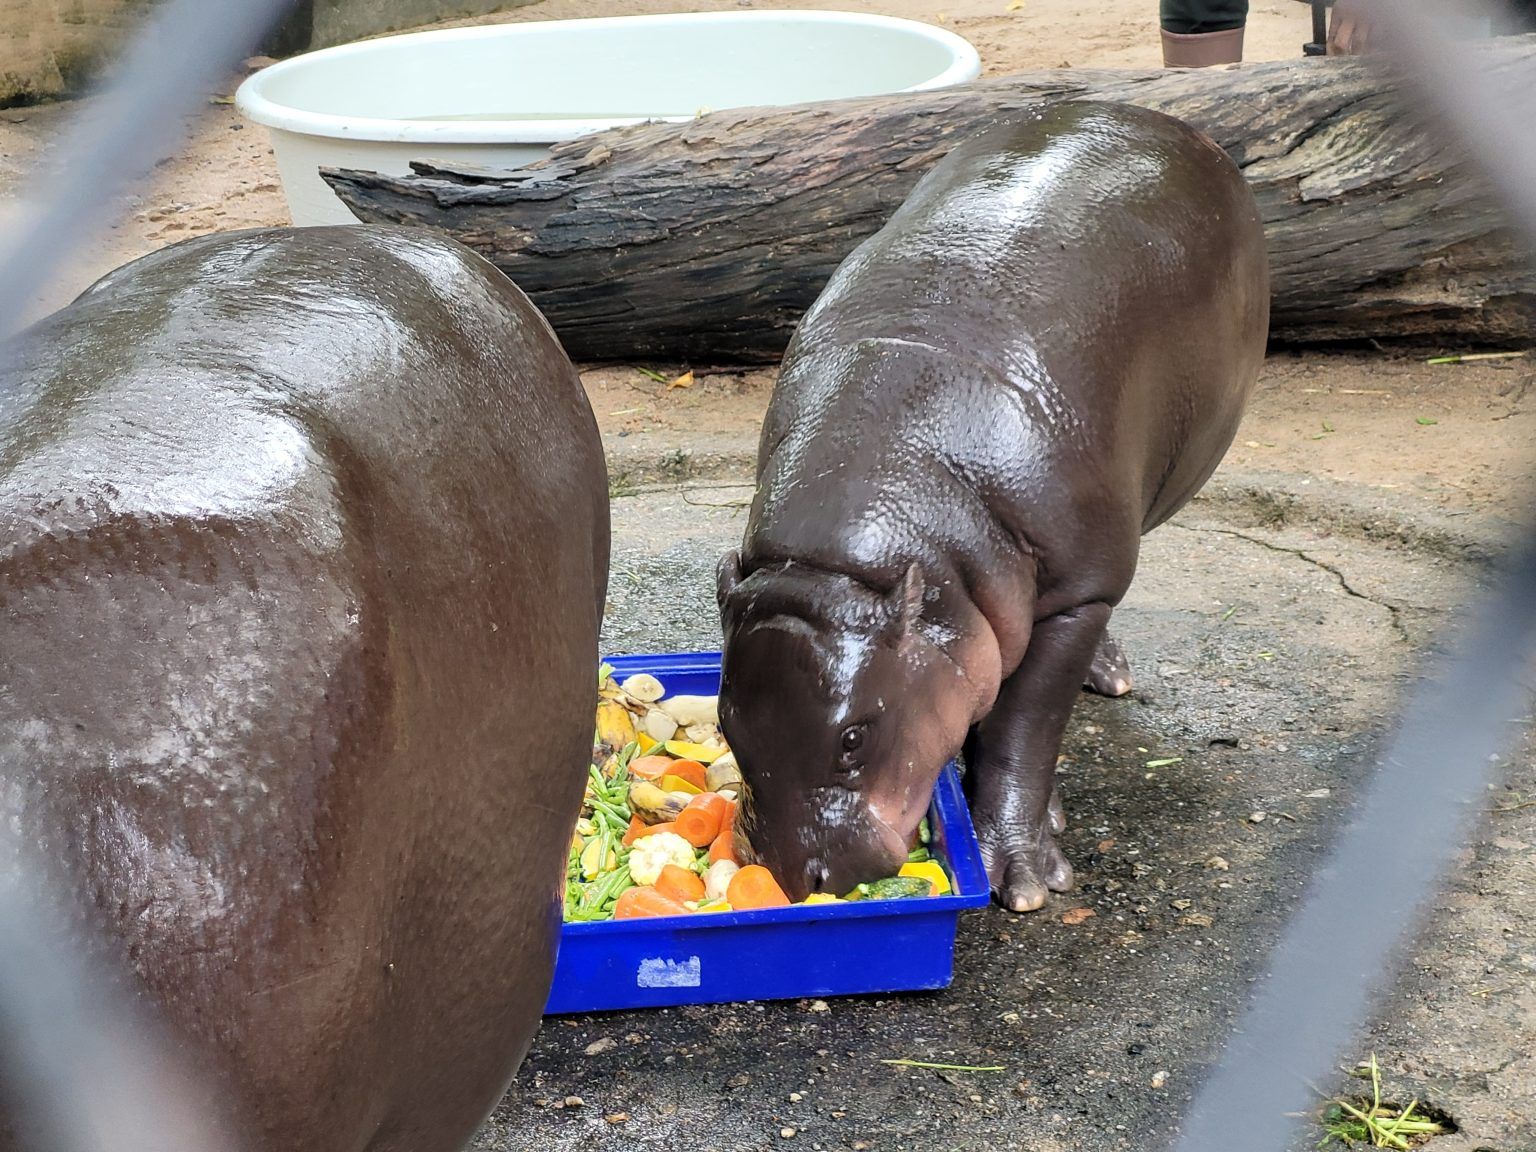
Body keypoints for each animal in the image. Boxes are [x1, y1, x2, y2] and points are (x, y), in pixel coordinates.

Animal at [717, 101, 1269, 912]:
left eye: (854, 739)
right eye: (728, 723)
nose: (794, 878)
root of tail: (1144, 114)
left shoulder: (1070, 595)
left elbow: (1023, 730)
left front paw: (1025, 876)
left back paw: (1109, 676)